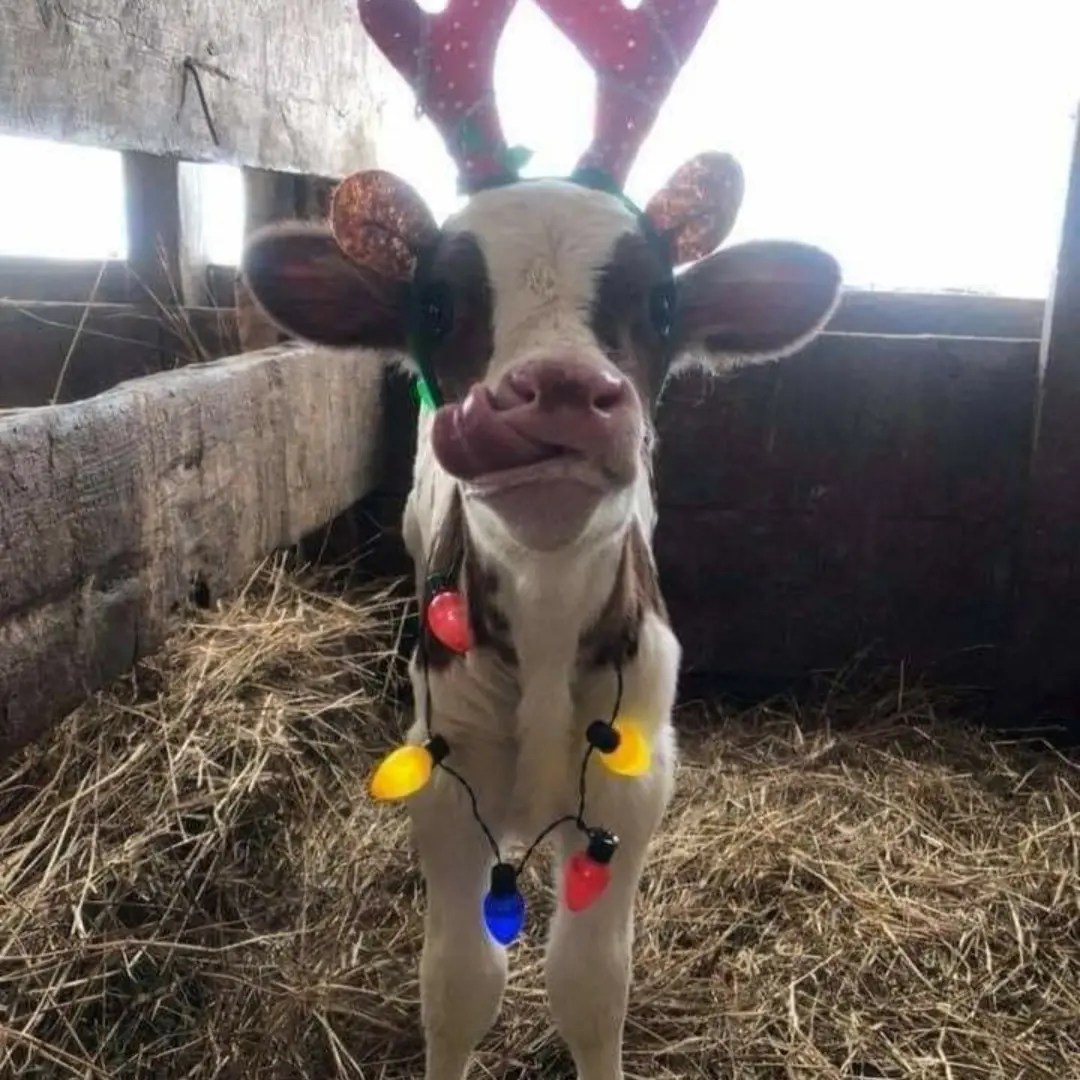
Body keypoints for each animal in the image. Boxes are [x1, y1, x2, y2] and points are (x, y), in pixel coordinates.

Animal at [240, 2, 841, 1078]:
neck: (552, 626)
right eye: (436, 303)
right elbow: (458, 983)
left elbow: (590, 986)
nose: (557, 391)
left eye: (661, 303)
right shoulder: (445, 776)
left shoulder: (635, 786)